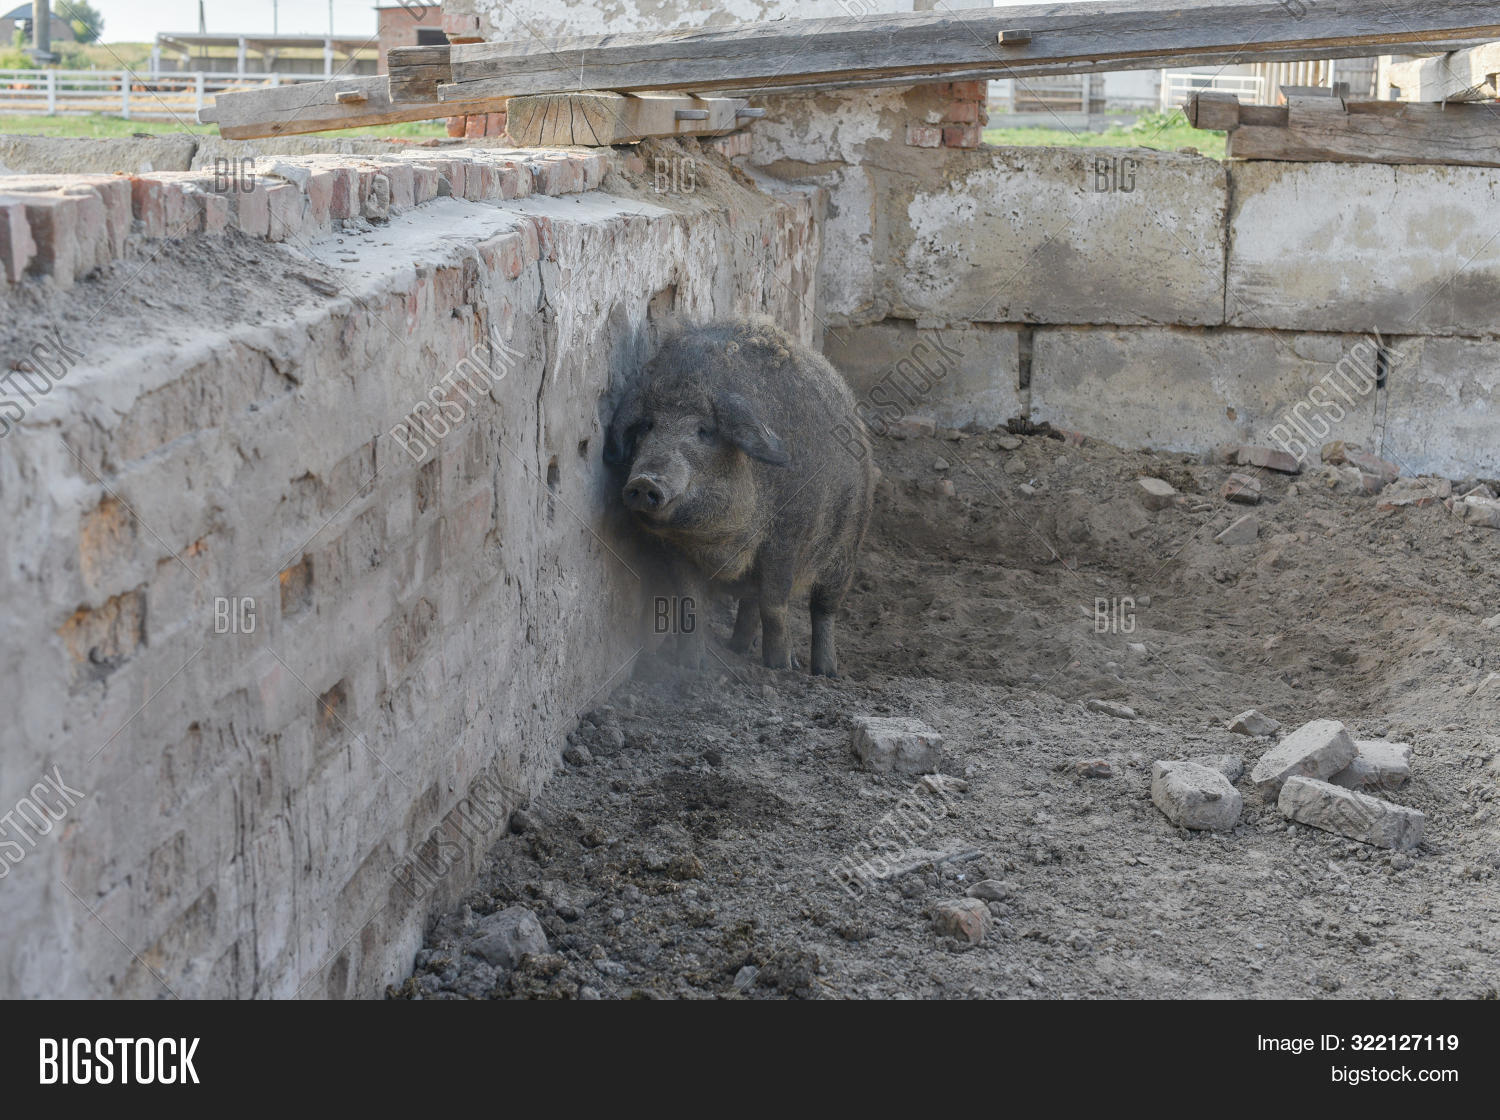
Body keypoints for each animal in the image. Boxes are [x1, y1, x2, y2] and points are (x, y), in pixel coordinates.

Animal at [604, 318, 874, 676]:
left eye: (704, 431)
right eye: (647, 426)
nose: (646, 481)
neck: (715, 538)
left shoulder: (788, 537)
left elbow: (775, 603)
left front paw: (780, 668)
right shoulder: (674, 548)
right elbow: (689, 601)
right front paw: (691, 665)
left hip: (847, 545)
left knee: (823, 608)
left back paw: (823, 672)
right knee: (749, 601)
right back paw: (738, 648)